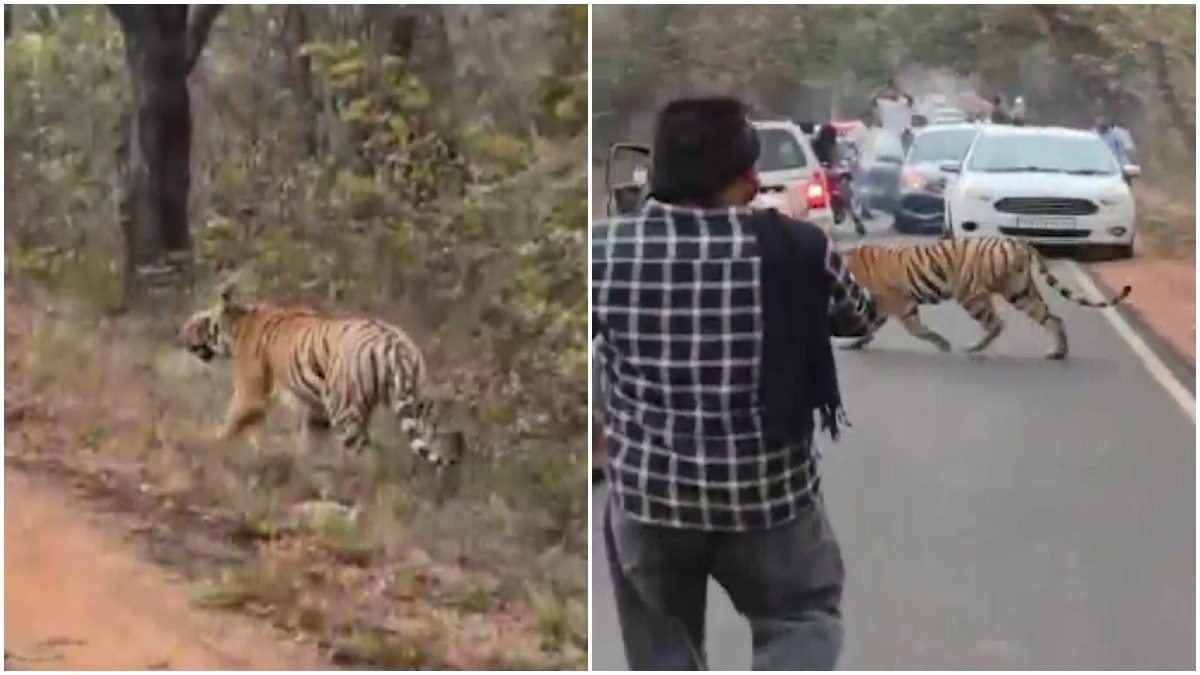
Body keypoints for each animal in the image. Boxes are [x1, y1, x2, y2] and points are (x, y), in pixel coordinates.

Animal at [177, 283, 465, 471]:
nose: (179, 335)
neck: (240, 327)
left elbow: (231, 421)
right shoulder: (315, 408)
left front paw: (206, 445)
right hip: (419, 401)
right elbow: (310, 440)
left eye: (197, 321)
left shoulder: (251, 391)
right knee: (437, 442)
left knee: (368, 457)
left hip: (346, 411)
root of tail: (395, 344)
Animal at [840, 236, 1132, 360]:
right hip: (1020, 292)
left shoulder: (899, 303)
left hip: (970, 294)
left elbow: (918, 330)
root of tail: (1018, 242)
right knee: (1053, 318)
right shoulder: (884, 305)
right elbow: (871, 326)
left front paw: (942, 344)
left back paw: (972, 349)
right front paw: (854, 344)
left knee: (997, 323)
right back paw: (1058, 353)